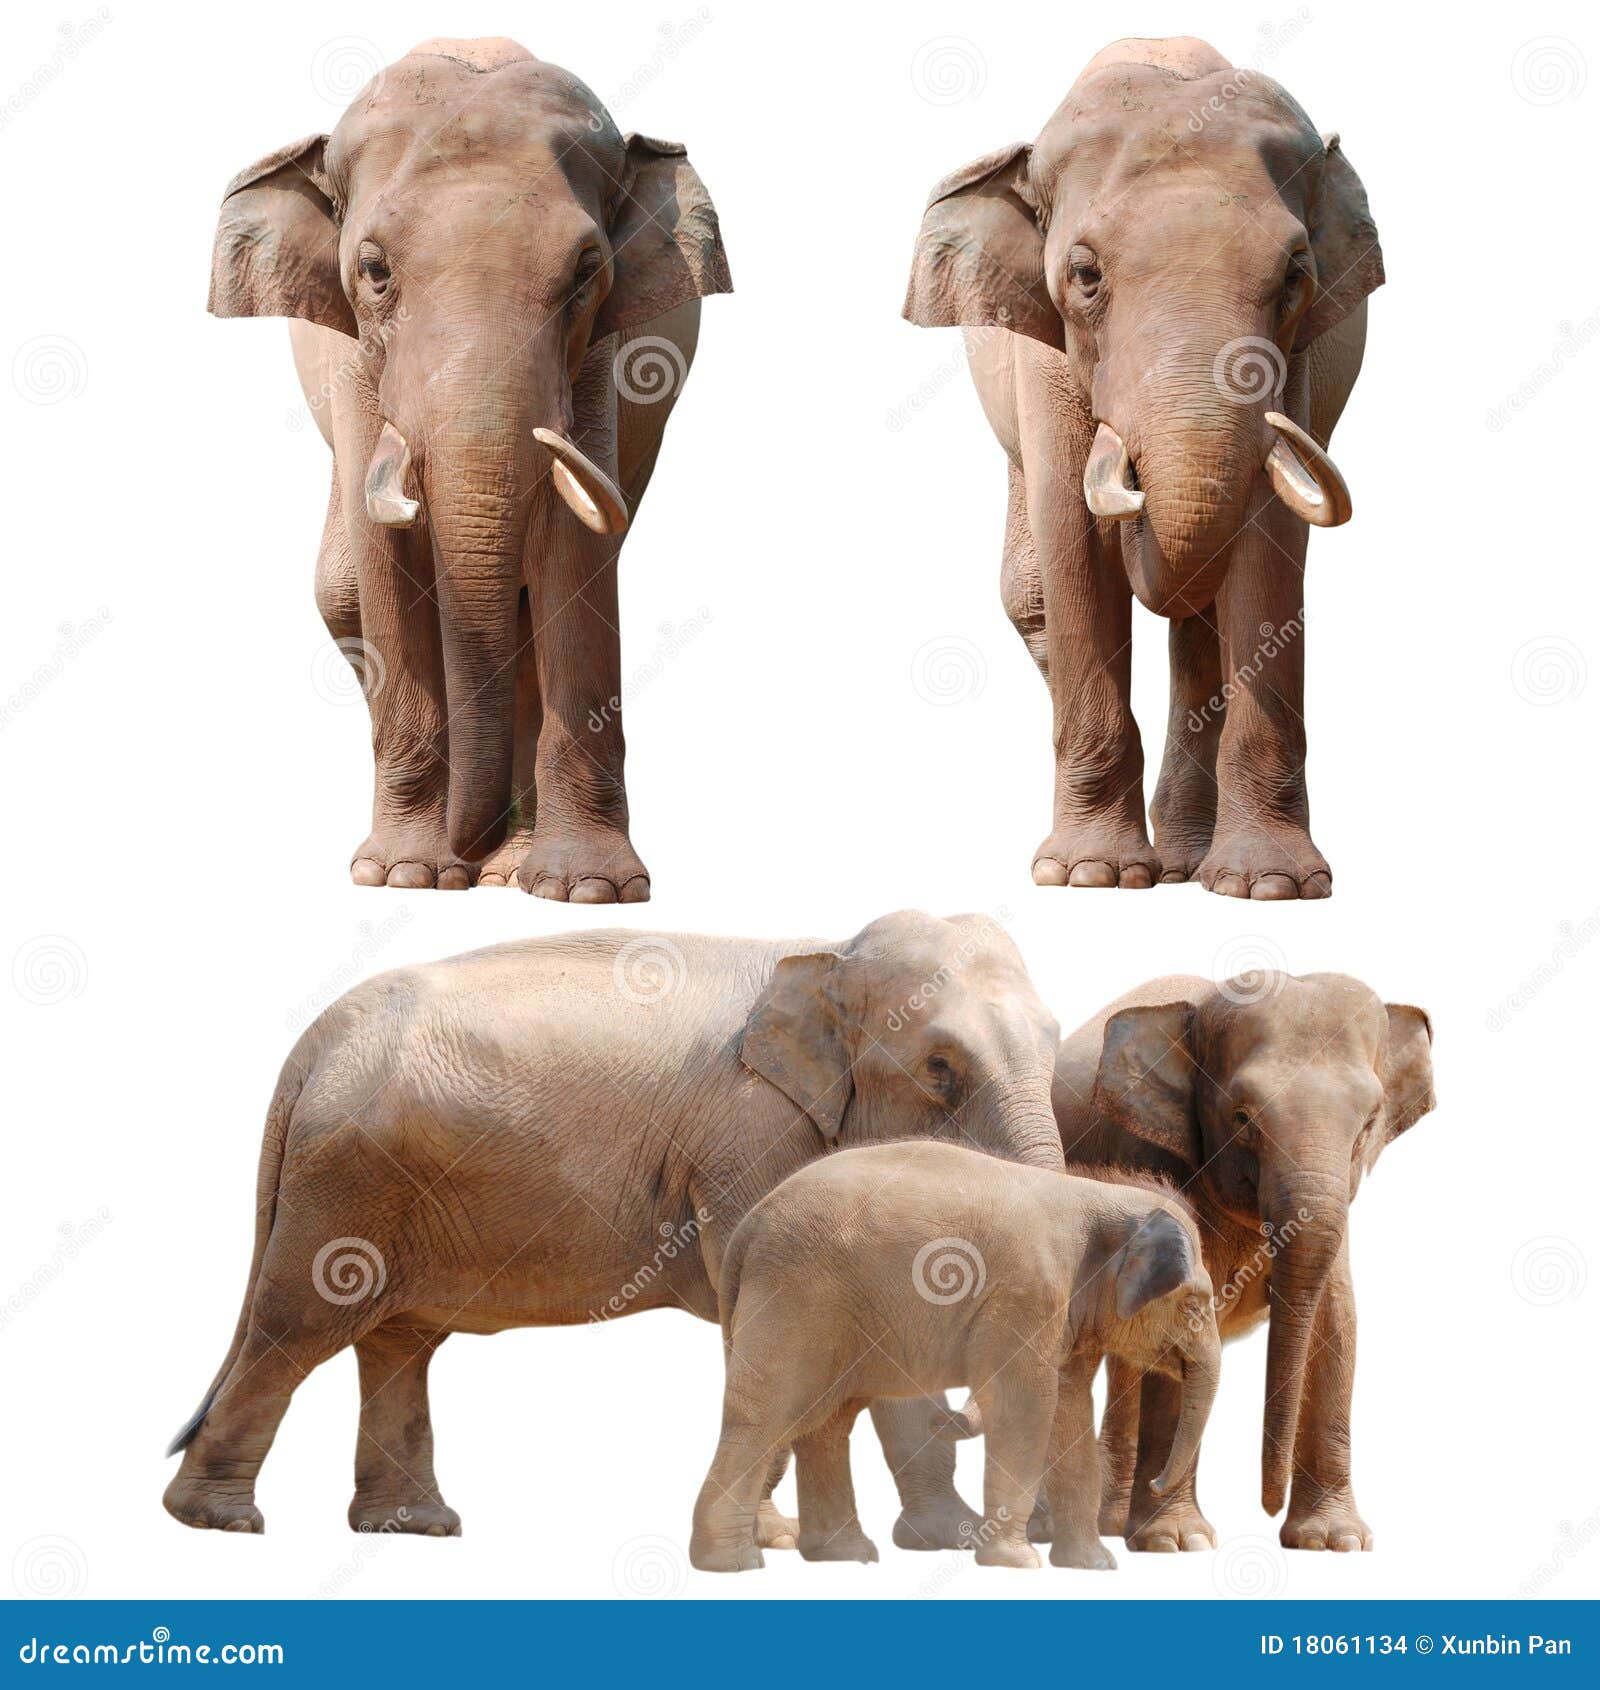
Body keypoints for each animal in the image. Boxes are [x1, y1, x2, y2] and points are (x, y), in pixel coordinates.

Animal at [162, 911, 1065, 1545]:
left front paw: (945, 1542)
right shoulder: (749, 1139)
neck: (826, 951)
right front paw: (772, 1541)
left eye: (1057, 1051)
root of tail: (310, 1046)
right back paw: (218, 1521)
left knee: (398, 1342)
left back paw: (414, 1529)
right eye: (940, 1069)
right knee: (299, 1326)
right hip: (346, 1186)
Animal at [211, 37, 731, 896]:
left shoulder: (604, 360)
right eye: (373, 270)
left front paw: (586, 889)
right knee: (340, 588)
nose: (469, 853)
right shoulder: (352, 364)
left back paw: (513, 868)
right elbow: (382, 556)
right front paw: (401, 876)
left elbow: (573, 555)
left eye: (587, 270)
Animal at [690, 1143, 1220, 1572]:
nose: (1155, 1482)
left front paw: (1094, 1567)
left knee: (827, 1422)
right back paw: (734, 1564)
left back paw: (846, 1556)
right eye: (1195, 1305)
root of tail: (746, 1231)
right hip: (797, 1298)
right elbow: (1024, 1407)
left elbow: (1068, 1413)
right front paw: (1019, 1565)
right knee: (767, 1416)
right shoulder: (1026, 1294)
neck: (1096, 1193)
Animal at [904, 37, 1383, 898]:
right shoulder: (1042, 355)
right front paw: (1089, 874)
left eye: (1296, 274)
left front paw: (1272, 887)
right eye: (1085, 275)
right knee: (1031, 591)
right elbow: (1073, 541)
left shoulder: (1291, 371)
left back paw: (1189, 862)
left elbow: (1267, 556)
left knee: (1199, 628)